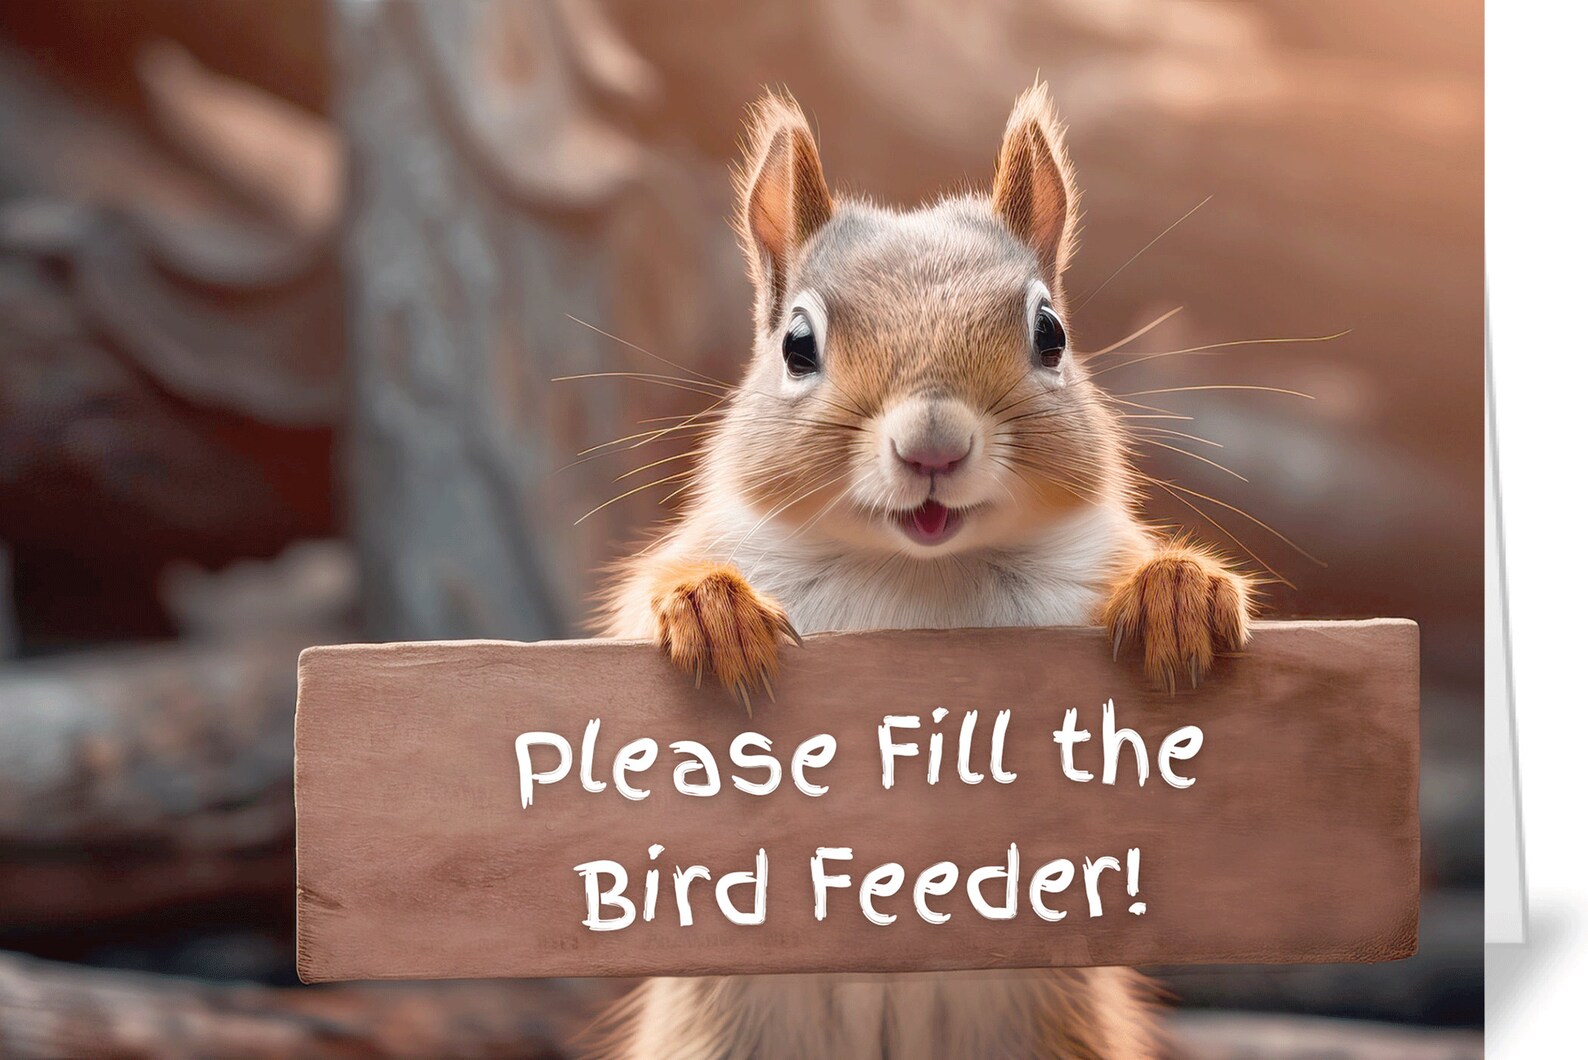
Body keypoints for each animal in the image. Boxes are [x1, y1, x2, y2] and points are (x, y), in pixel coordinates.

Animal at [596, 84, 1255, 1060]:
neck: (916, 574)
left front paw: (1180, 590)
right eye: (797, 347)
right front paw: (711, 608)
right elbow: (634, 619)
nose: (933, 445)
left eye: (1051, 334)